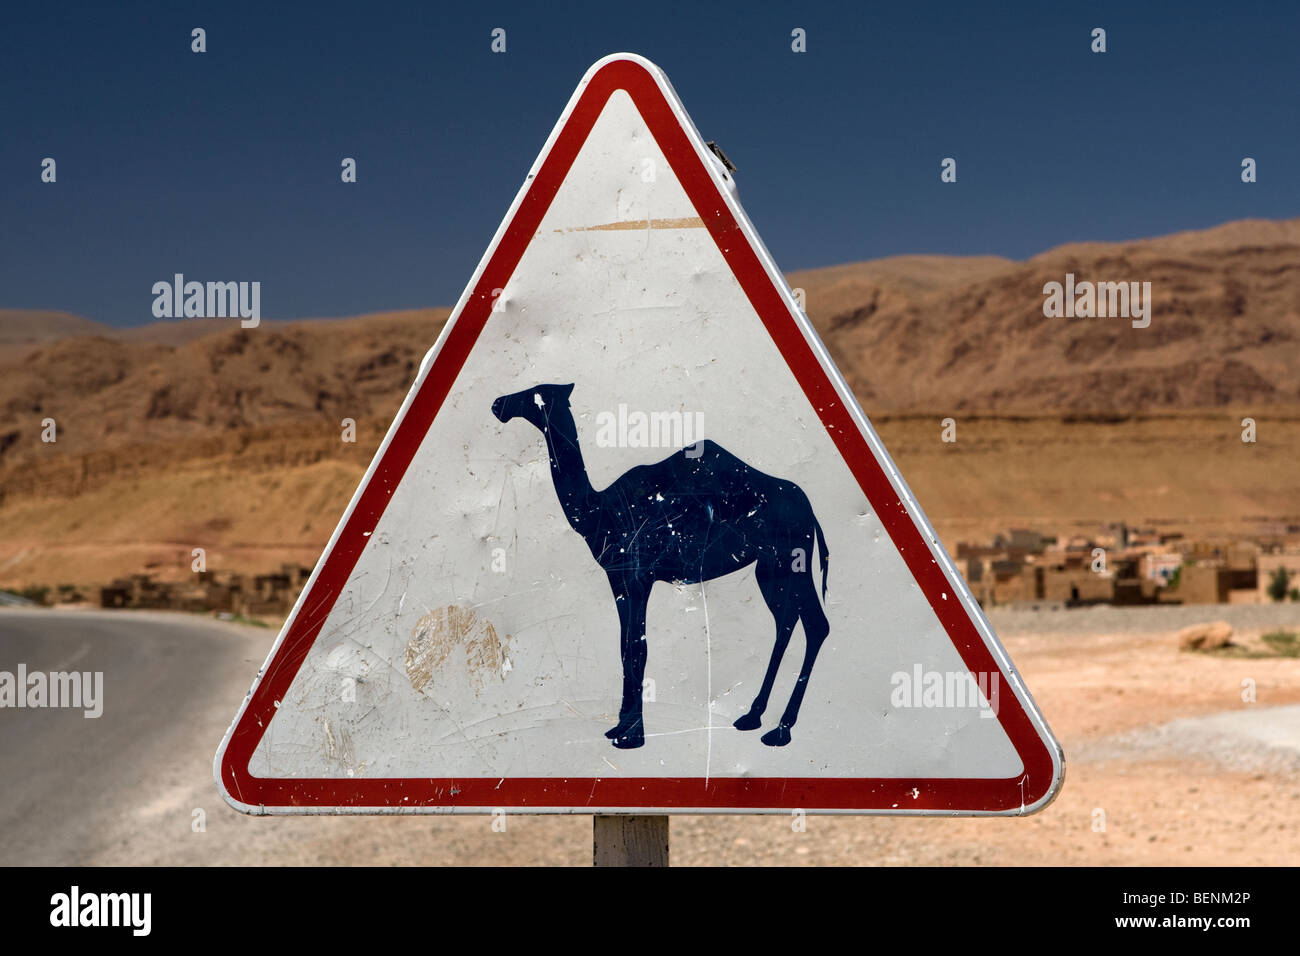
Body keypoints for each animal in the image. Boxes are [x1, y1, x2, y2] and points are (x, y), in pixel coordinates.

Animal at [492, 383, 830, 749]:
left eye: (535, 394)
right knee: (788, 622)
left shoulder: (638, 577)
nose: (498, 404)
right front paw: (619, 727)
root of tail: (810, 511)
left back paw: (781, 729)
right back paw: (754, 717)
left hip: (788, 559)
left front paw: (631, 735)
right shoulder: (619, 579)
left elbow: (637, 647)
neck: (599, 511)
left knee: (815, 624)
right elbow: (625, 646)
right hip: (768, 567)